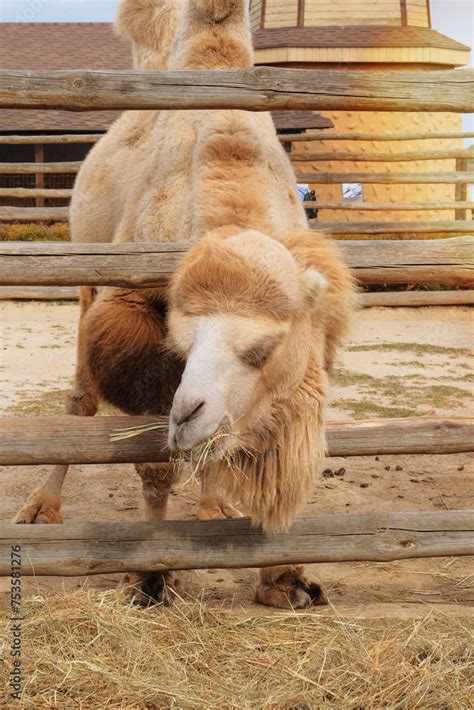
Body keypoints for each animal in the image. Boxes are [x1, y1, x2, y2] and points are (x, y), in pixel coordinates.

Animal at [13, 0, 356, 609]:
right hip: (83, 271)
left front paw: (285, 578)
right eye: (181, 340)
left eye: (266, 347)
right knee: (81, 398)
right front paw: (151, 576)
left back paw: (214, 505)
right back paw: (41, 506)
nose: (189, 411)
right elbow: (154, 464)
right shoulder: (135, 326)